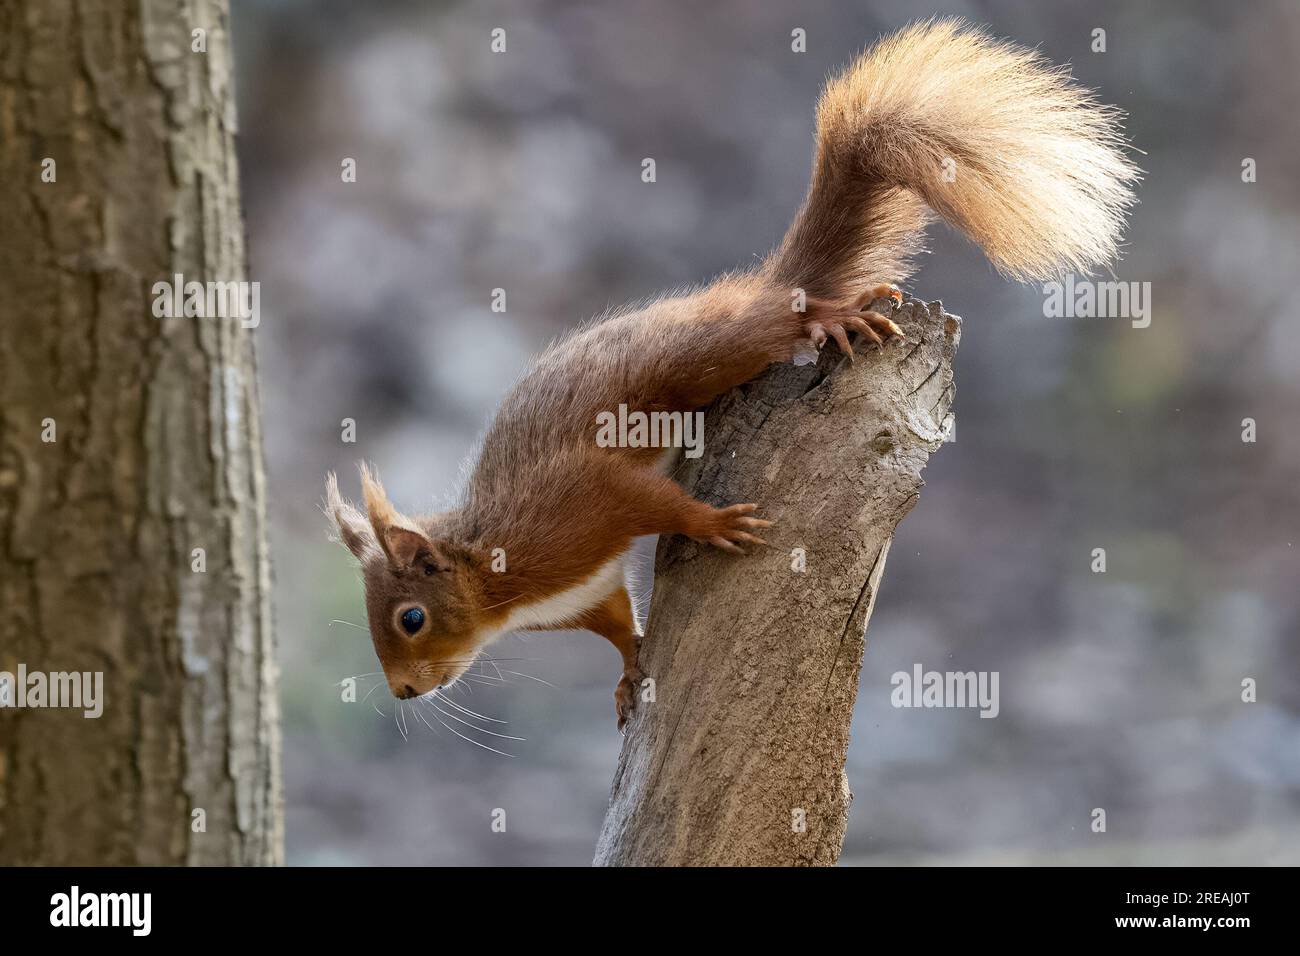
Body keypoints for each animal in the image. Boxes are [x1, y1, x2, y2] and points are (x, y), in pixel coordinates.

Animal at [325, 19, 1138, 730]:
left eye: (411, 616)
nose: (401, 692)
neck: (499, 584)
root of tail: (741, 292)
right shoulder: (588, 588)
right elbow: (617, 624)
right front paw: (628, 672)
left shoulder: (582, 503)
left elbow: (651, 502)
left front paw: (716, 525)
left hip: (706, 352)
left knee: (776, 322)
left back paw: (830, 316)